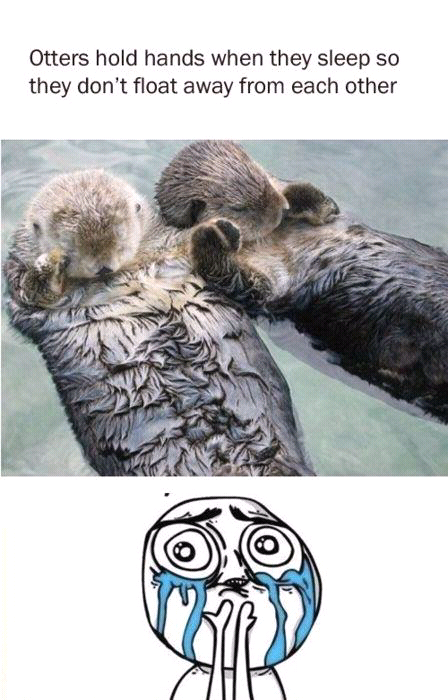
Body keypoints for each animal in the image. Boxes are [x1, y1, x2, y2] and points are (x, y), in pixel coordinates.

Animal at [4, 170, 313, 476]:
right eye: (71, 246)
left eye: (121, 235)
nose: (103, 267)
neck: (128, 272)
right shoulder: (23, 294)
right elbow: (33, 291)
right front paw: (50, 262)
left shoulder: (171, 249)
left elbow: (248, 282)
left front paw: (222, 228)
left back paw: (211, 236)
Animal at [157, 141, 448, 423]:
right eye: (240, 207)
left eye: (263, 177)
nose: (280, 209)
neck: (271, 238)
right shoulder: (264, 290)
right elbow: (235, 279)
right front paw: (214, 231)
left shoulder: (328, 215)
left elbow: (327, 204)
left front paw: (294, 195)